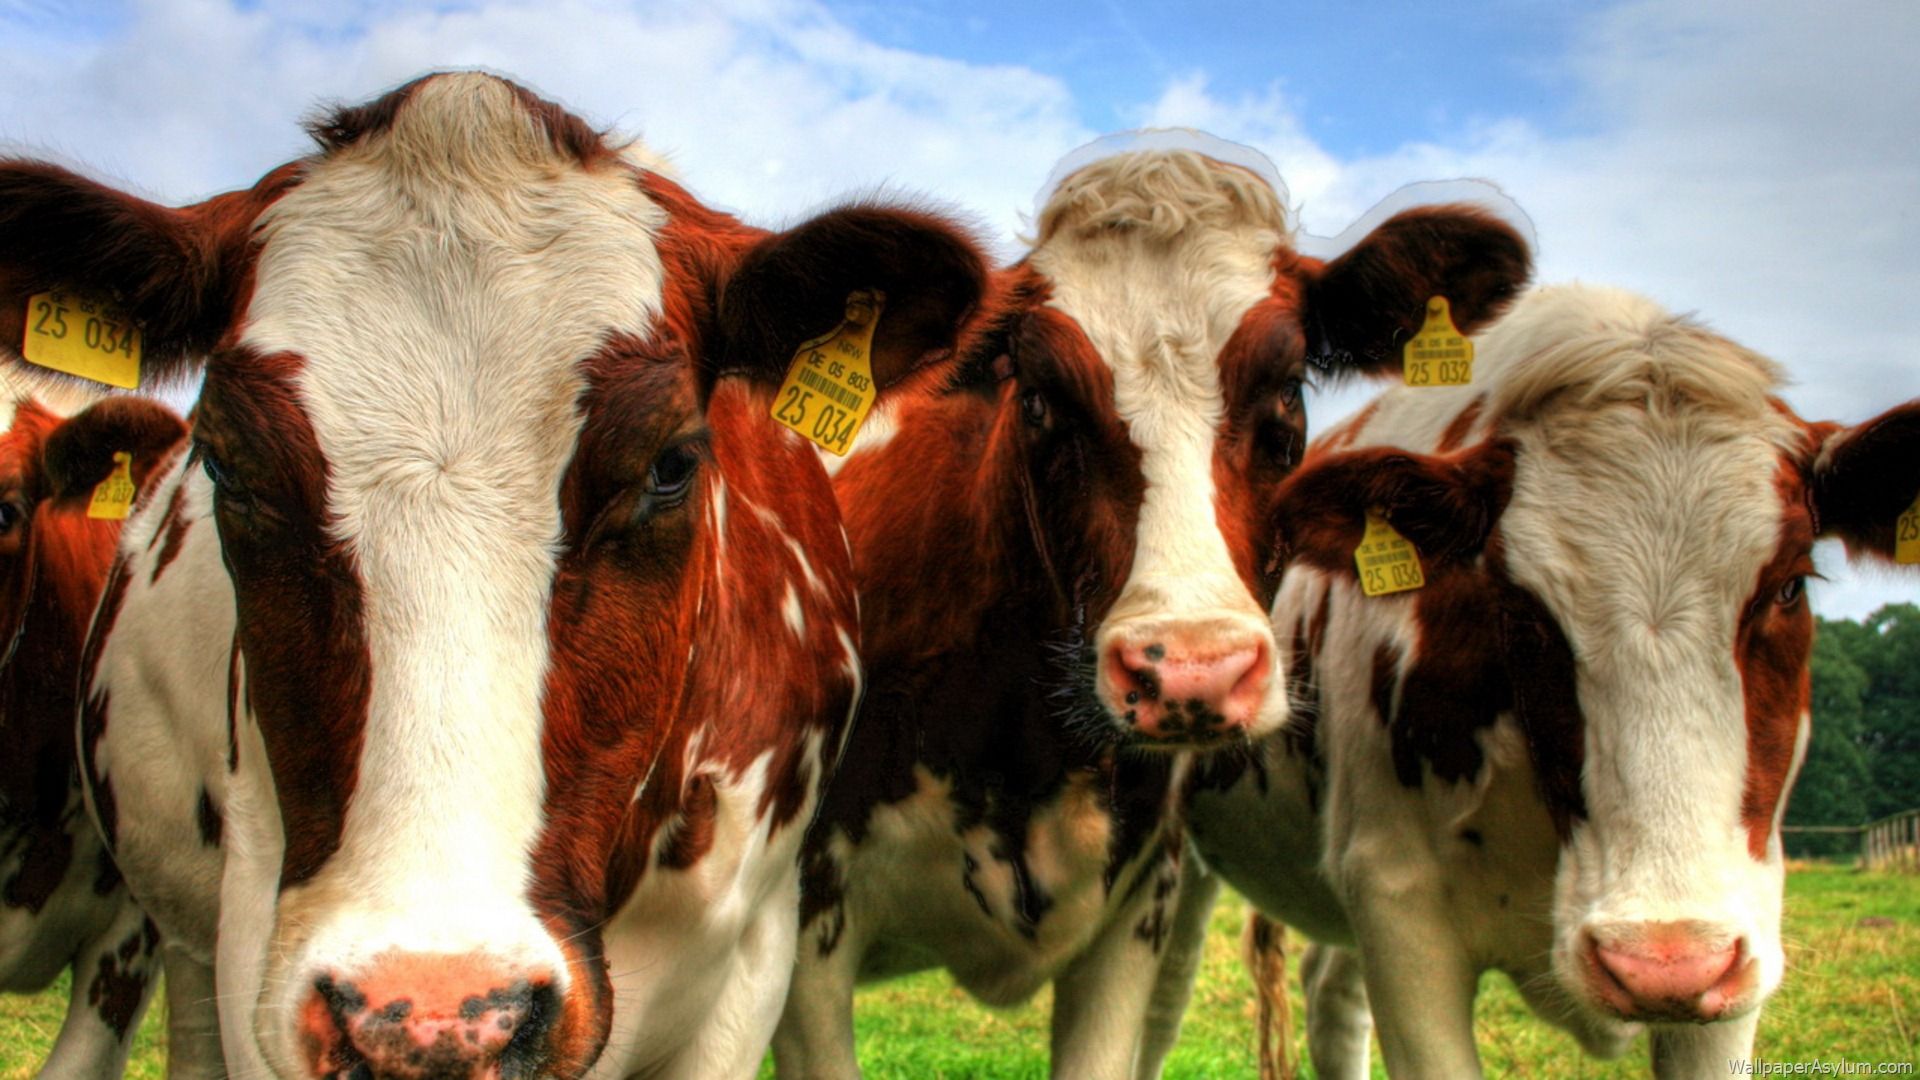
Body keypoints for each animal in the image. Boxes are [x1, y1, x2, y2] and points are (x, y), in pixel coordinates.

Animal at [772, 137, 1533, 1079]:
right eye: (1039, 397)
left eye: (1288, 387)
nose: (1193, 673)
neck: (1024, 755)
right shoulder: (806, 932)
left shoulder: (1137, 911)